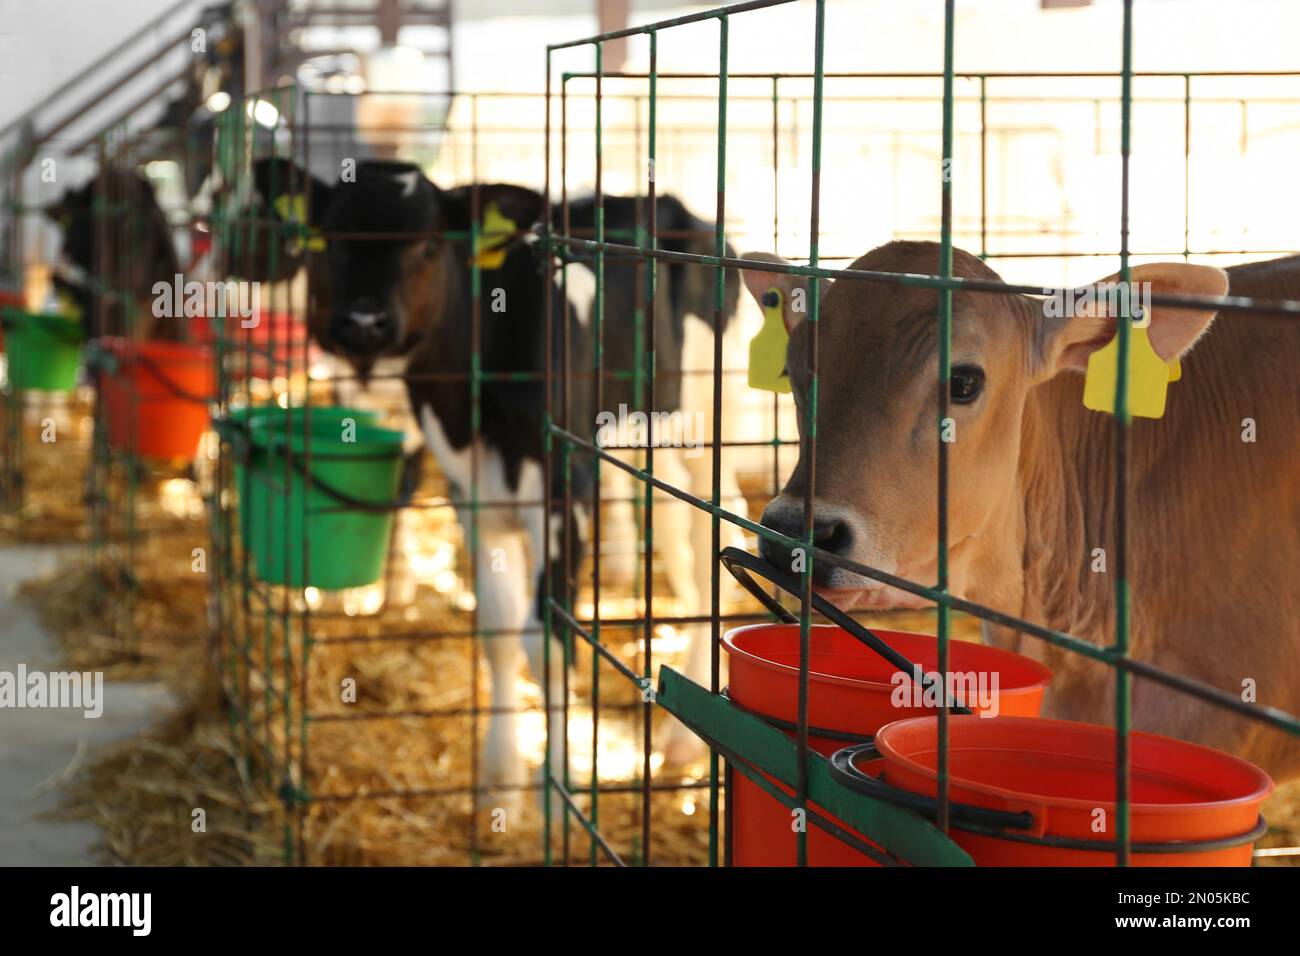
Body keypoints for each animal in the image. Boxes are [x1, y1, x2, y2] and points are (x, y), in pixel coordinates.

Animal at [246, 158, 738, 804]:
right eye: (329, 237)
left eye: (430, 243)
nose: (363, 322)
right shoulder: (472, 496)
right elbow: (500, 633)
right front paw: (502, 778)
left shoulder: (563, 493)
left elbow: (548, 643)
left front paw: (560, 784)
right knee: (685, 526)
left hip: (712, 417)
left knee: (716, 532)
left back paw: (684, 737)